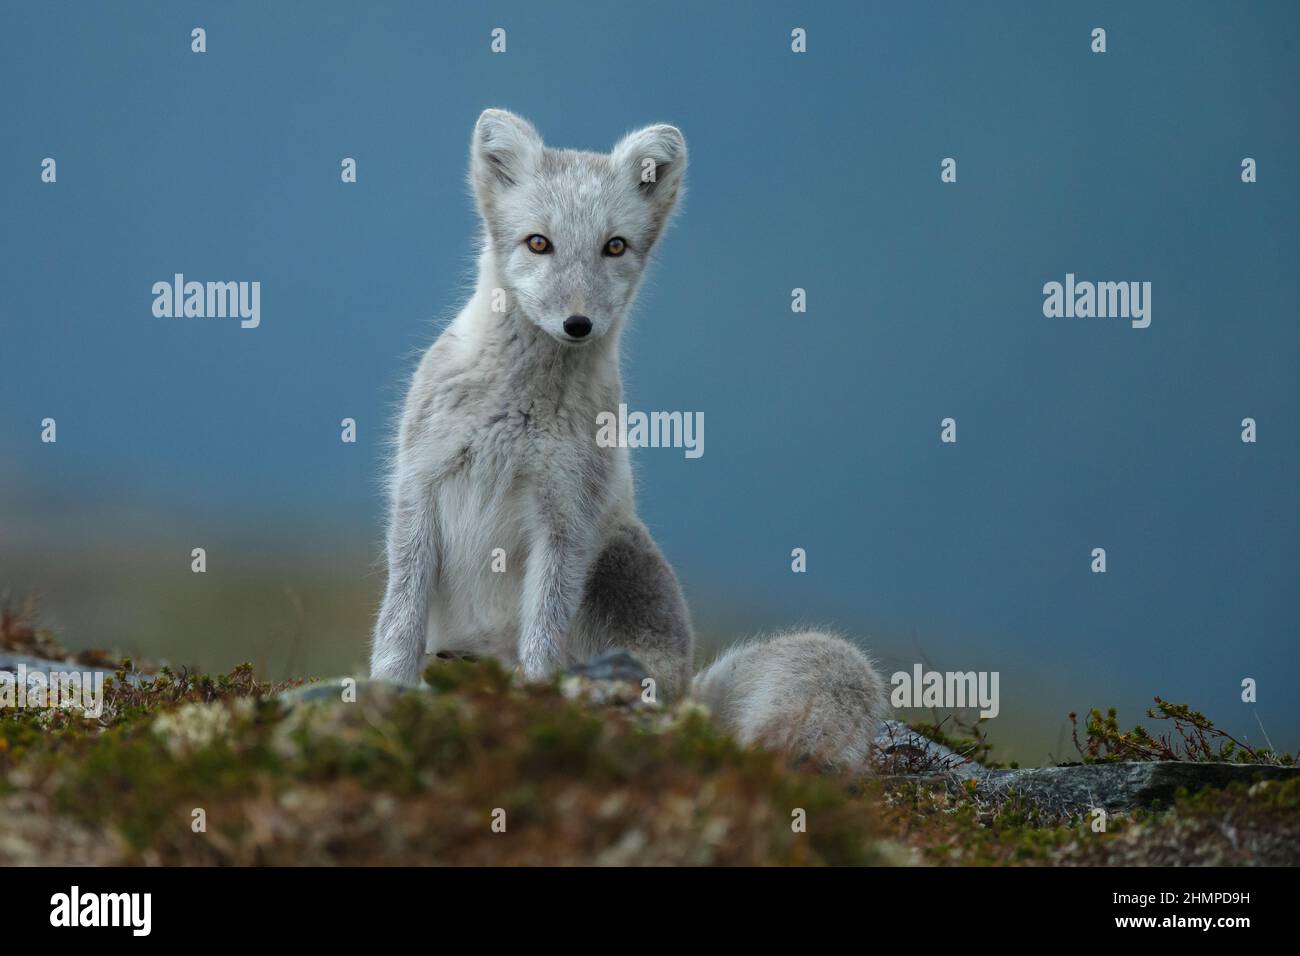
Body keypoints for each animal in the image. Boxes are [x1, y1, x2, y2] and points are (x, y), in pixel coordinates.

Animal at [370, 108, 888, 769]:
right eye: (538, 242)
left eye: (614, 246)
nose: (578, 323)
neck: (516, 412)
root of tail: (688, 693)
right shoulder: (419, 488)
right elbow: (399, 615)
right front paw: (386, 686)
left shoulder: (565, 518)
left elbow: (543, 632)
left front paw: (532, 700)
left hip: (619, 554)